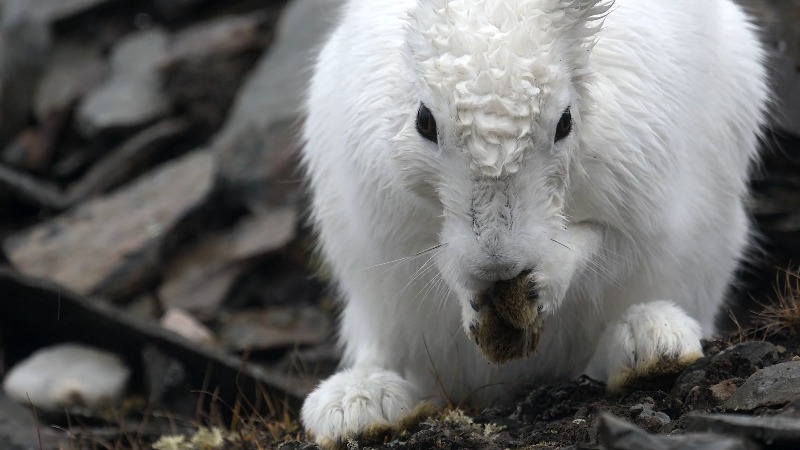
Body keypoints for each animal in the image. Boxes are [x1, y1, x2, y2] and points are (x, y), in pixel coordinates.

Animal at [299, 0, 769, 447]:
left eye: (565, 122)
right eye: (424, 122)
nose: (497, 262)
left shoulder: (640, 203)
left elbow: (599, 242)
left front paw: (542, 283)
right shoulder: (391, 220)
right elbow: (433, 257)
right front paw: (472, 298)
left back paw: (650, 344)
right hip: (379, 306)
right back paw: (357, 406)